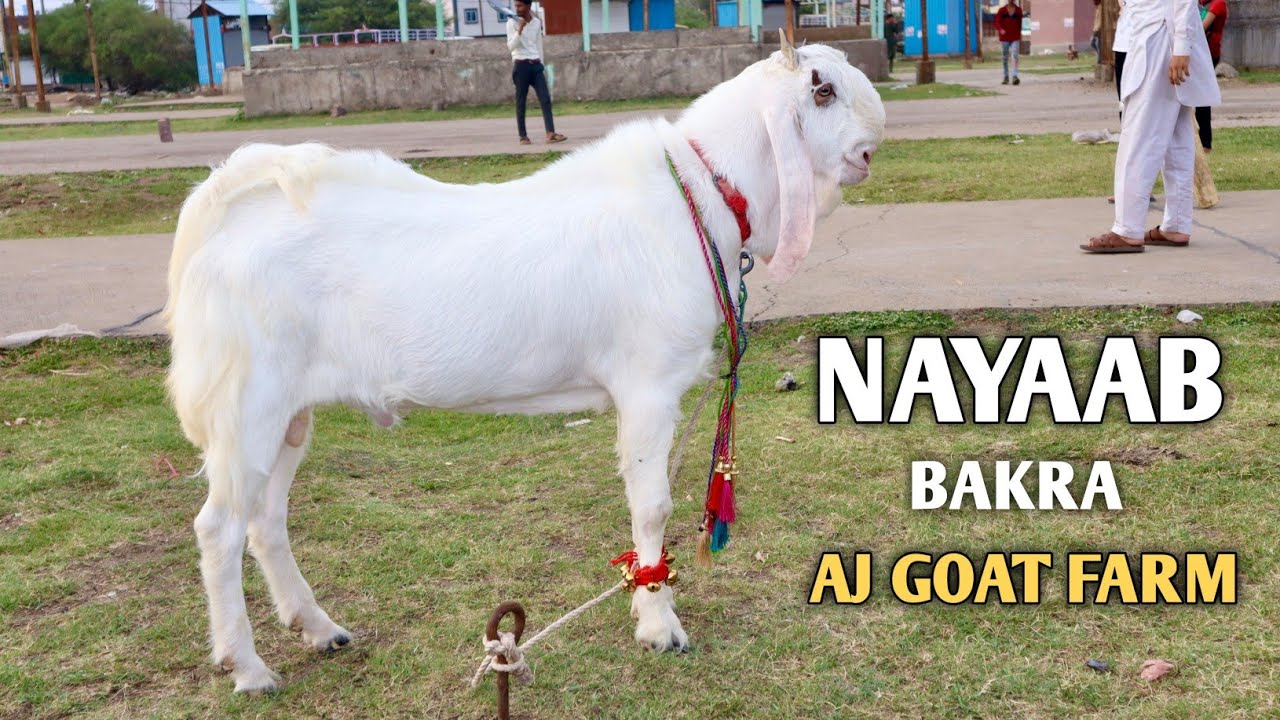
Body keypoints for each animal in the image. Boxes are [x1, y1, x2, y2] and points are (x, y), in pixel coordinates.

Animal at [165, 39, 885, 692]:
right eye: (824, 91)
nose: (869, 151)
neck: (702, 192)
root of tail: (227, 219)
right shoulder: (648, 387)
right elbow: (652, 506)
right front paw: (660, 625)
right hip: (248, 404)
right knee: (219, 528)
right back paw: (248, 667)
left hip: (291, 412)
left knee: (266, 520)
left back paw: (318, 628)